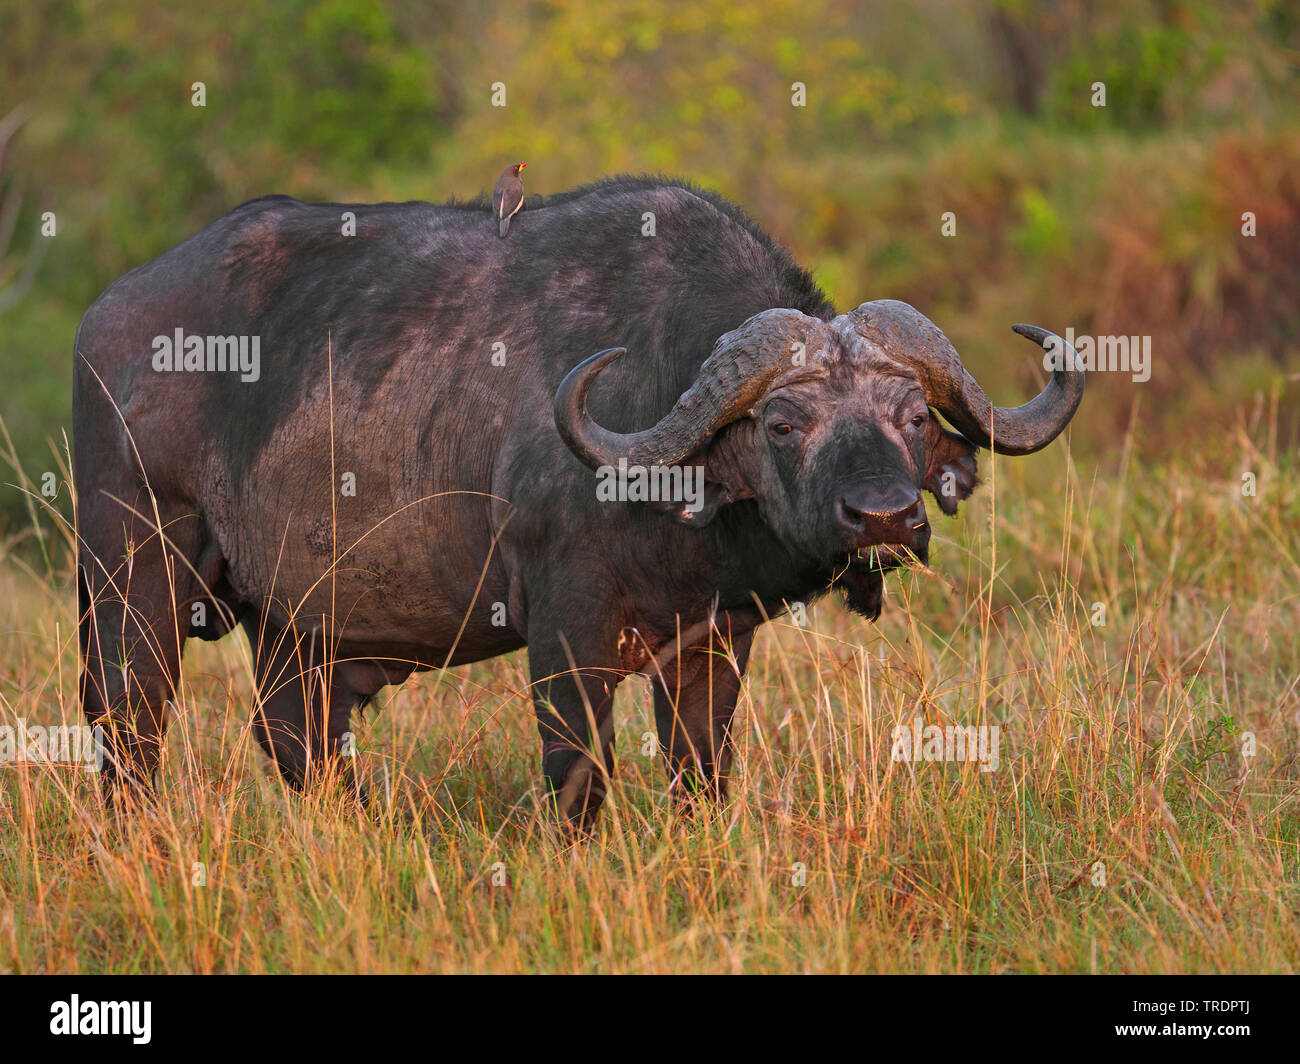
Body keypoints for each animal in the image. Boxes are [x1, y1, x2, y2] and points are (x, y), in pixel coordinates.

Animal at [73, 177, 1082, 830]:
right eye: (784, 423)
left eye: (912, 416)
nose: (882, 517)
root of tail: (106, 319)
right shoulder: (566, 631)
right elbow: (579, 773)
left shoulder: (716, 641)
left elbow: (701, 772)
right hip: (134, 568)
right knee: (130, 720)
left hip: (295, 622)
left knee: (297, 738)